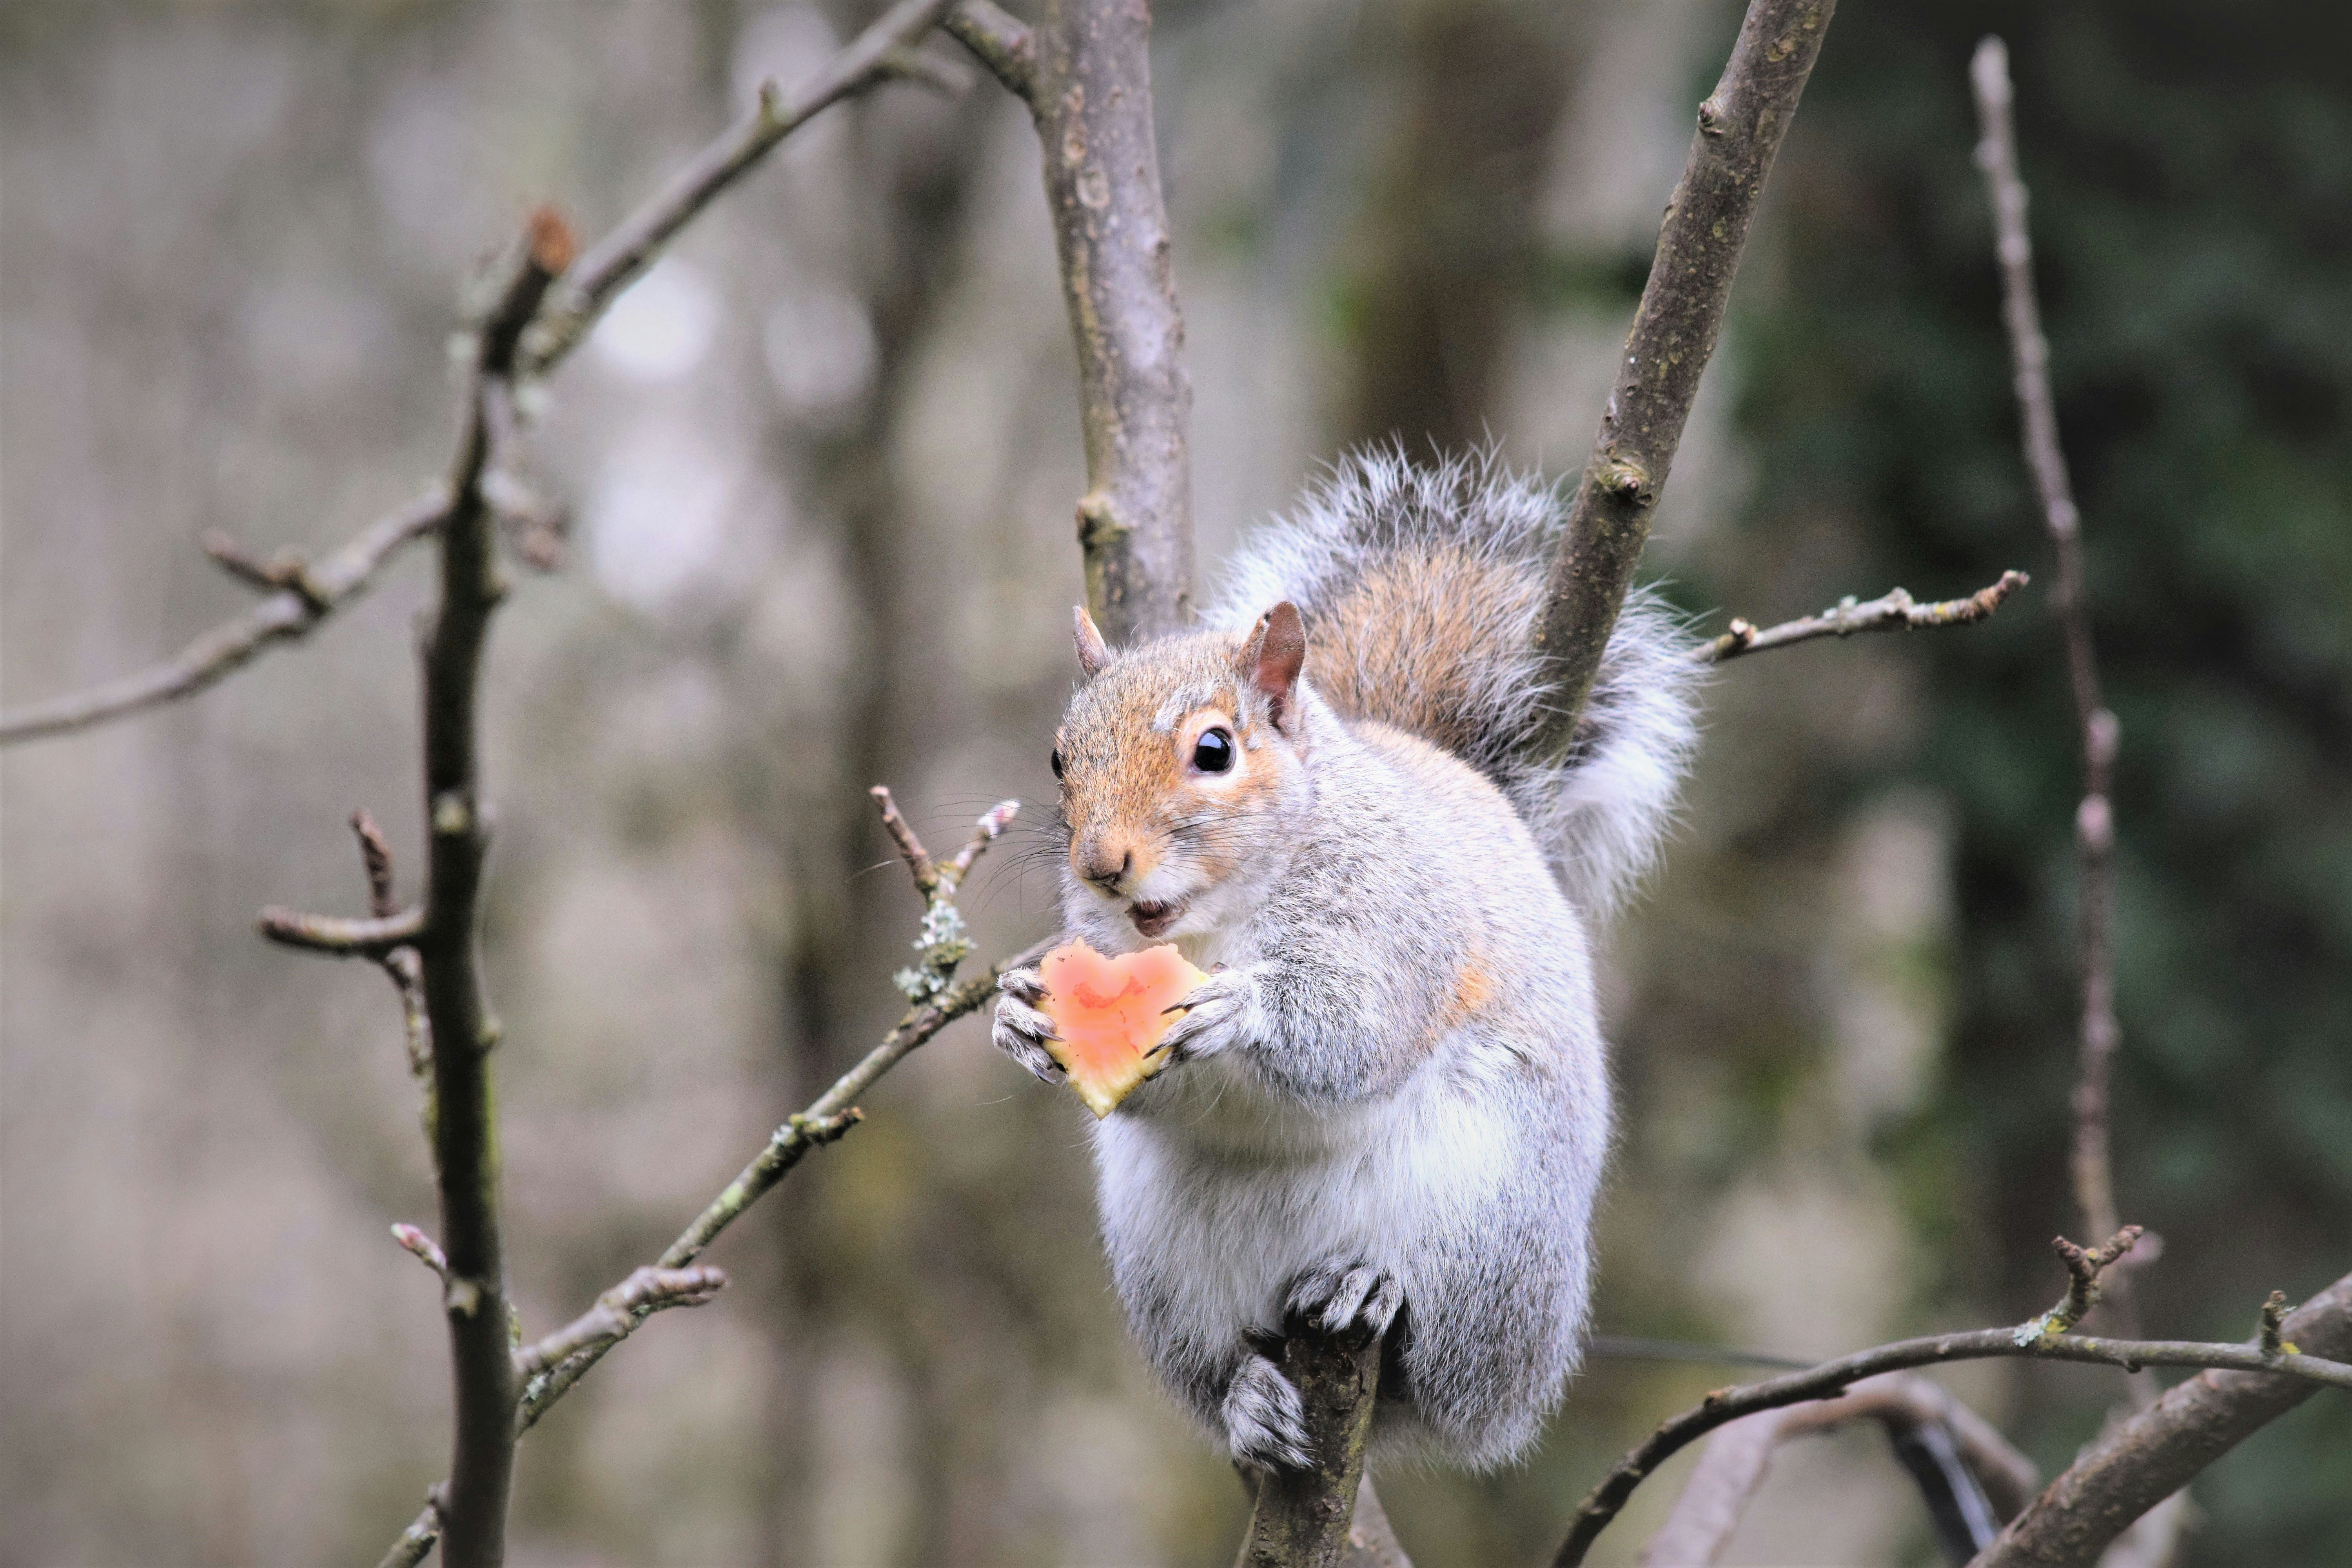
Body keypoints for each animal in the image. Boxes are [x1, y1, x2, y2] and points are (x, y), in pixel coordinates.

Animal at [992, 449, 1701, 1471]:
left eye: (1215, 749)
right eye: (1058, 758)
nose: (1101, 863)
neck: (1213, 923)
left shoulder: (1400, 921)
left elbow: (1358, 1033)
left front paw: (1240, 1006)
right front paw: (1017, 1015)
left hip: (1487, 1221)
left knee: (1442, 1372)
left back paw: (1374, 1292)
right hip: (1166, 1270)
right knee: (1226, 1361)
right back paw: (1250, 1396)